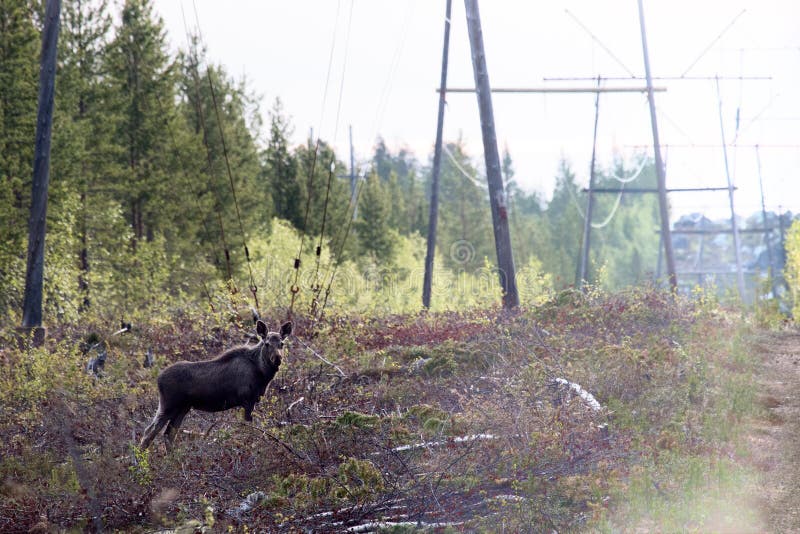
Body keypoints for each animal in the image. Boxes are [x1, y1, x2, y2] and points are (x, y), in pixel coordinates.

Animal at [139, 320, 292, 451]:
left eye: (282, 343)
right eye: (267, 344)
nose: (277, 358)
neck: (262, 374)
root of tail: (158, 379)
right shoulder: (247, 400)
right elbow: (249, 429)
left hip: (182, 408)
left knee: (168, 434)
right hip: (168, 405)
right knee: (149, 432)